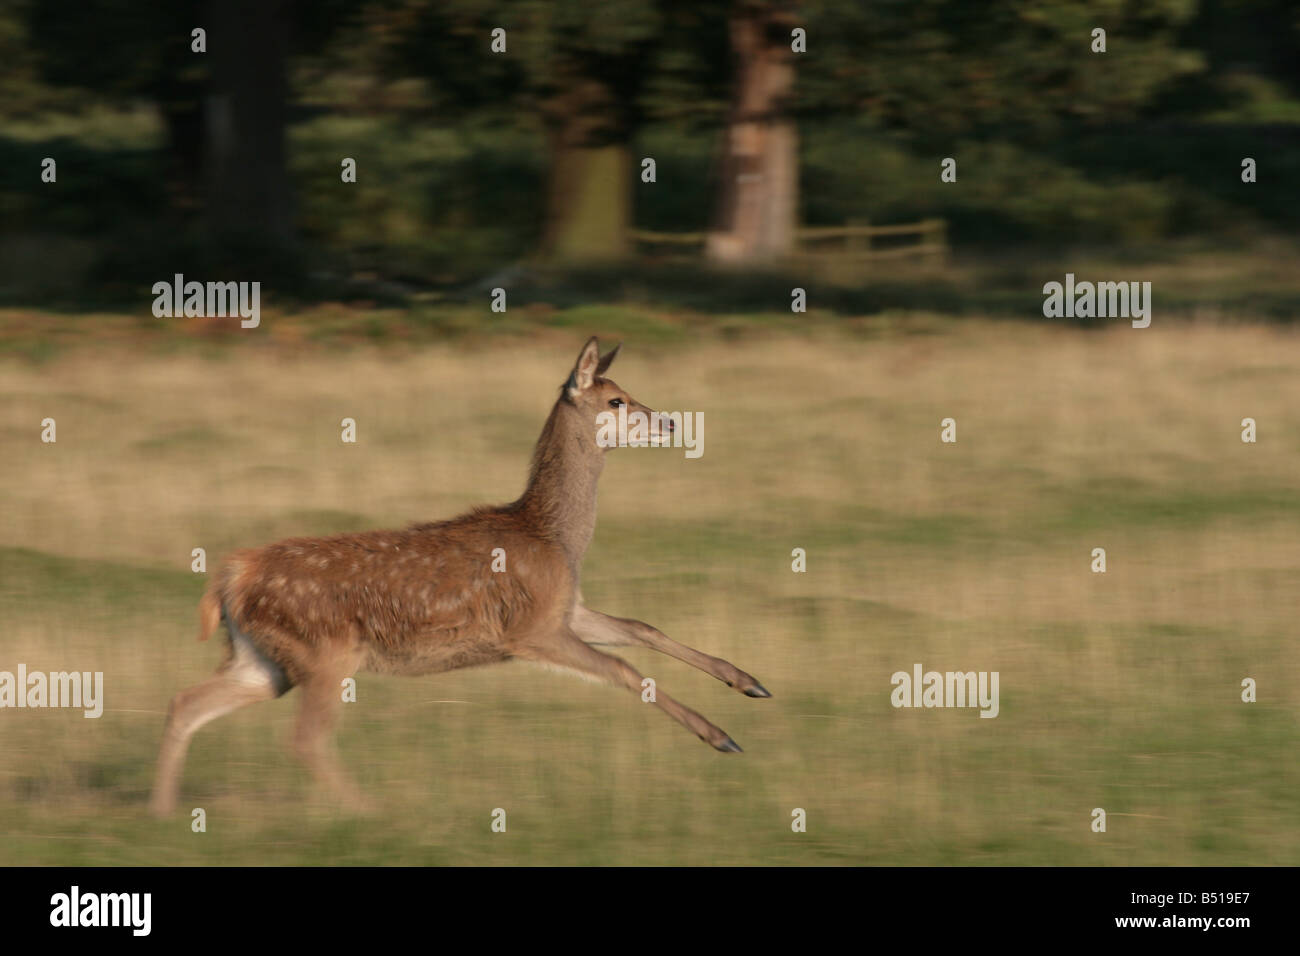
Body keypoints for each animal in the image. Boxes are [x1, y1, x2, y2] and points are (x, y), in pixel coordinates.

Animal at [149, 337, 770, 815]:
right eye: (616, 399)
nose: (670, 421)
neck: (553, 537)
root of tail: (230, 576)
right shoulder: (527, 629)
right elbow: (623, 669)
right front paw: (721, 736)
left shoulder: (565, 609)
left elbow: (644, 627)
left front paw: (749, 682)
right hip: (325, 650)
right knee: (304, 738)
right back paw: (371, 811)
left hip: (265, 658)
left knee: (187, 702)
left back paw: (162, 811)